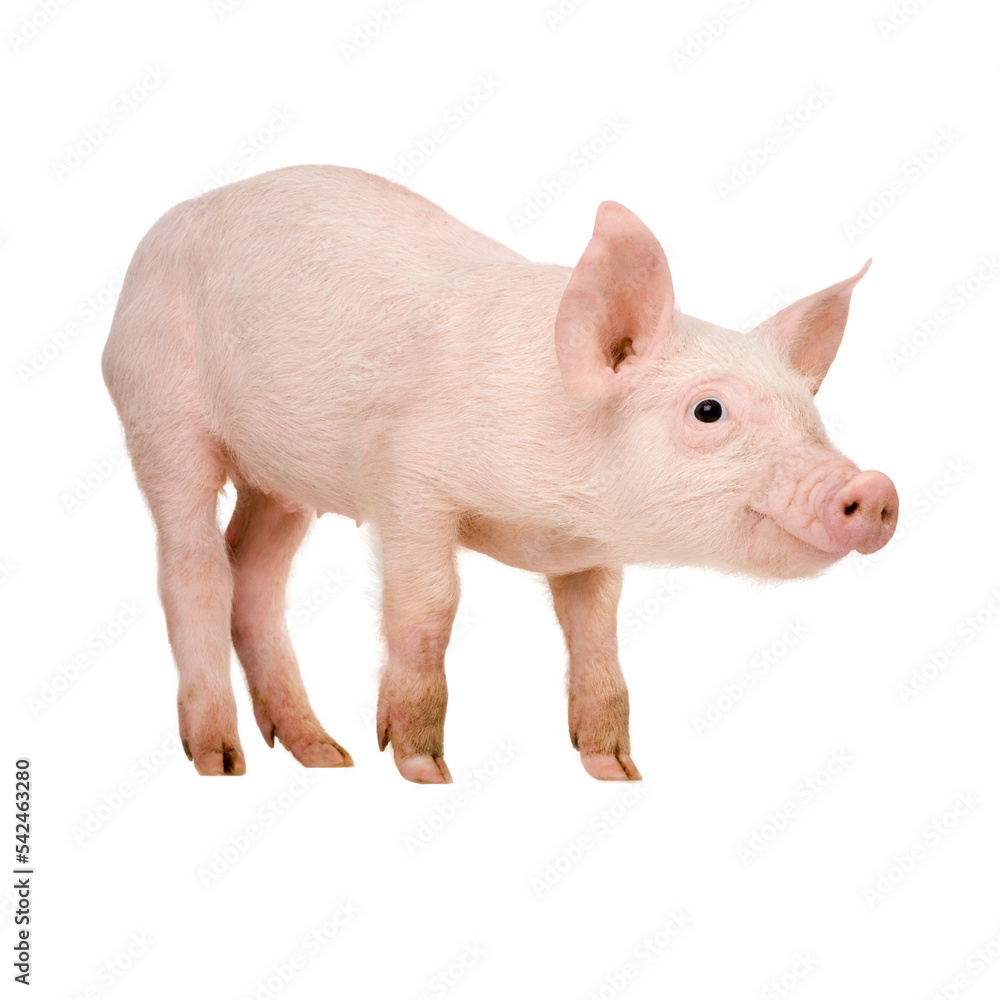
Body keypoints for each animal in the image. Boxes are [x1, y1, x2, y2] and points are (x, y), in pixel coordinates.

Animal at [101, 164, 897, 783]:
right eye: (709, 410)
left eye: (810, 414)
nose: (875, 488)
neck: (551, 516)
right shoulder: (406, 480)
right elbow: (430, 607)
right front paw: (423, 770)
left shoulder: (589, 551)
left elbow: (596, 629)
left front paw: (617, 770)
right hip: (159, 409)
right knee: (192, 567)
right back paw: (221, 762)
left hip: (280, 478)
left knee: (255, 573)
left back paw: (324, 756)